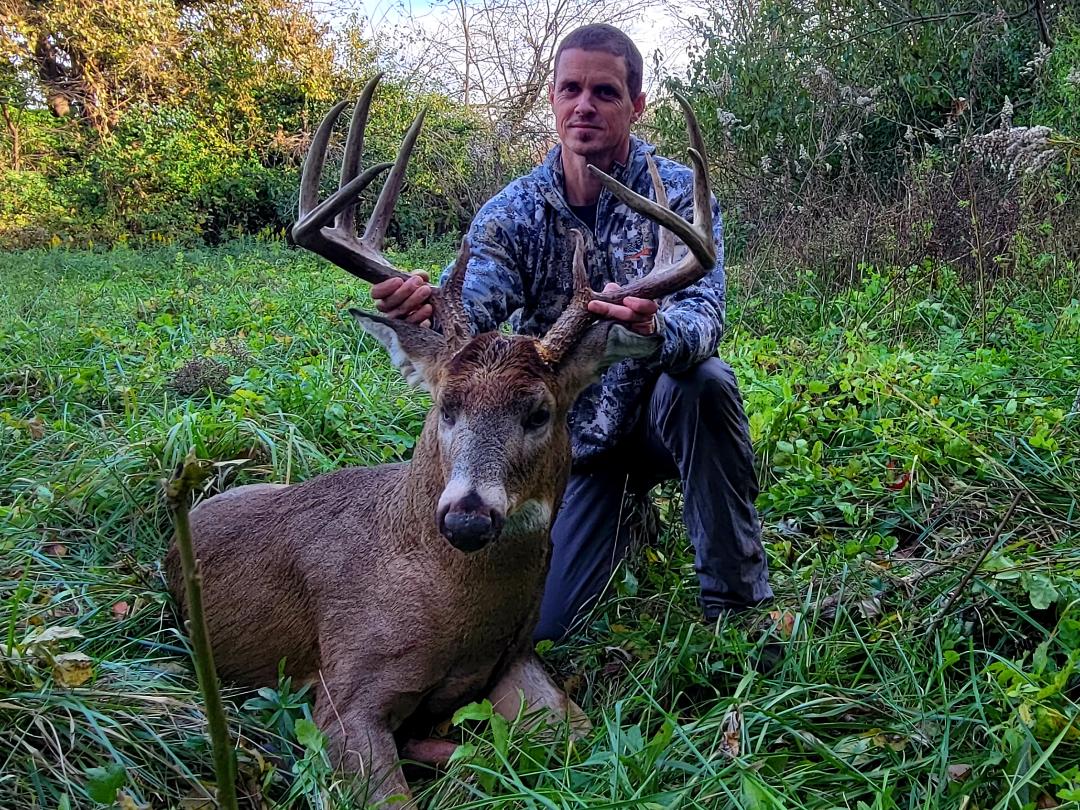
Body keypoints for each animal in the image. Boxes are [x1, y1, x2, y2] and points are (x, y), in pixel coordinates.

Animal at [165, 74, 716, 806]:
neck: (456, 615)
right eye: (444, 407)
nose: (466, 517)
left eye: (539, 412)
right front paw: (451, 756)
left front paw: (470, 752)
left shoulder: (515, 658)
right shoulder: (341, 693)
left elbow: (575, 733)